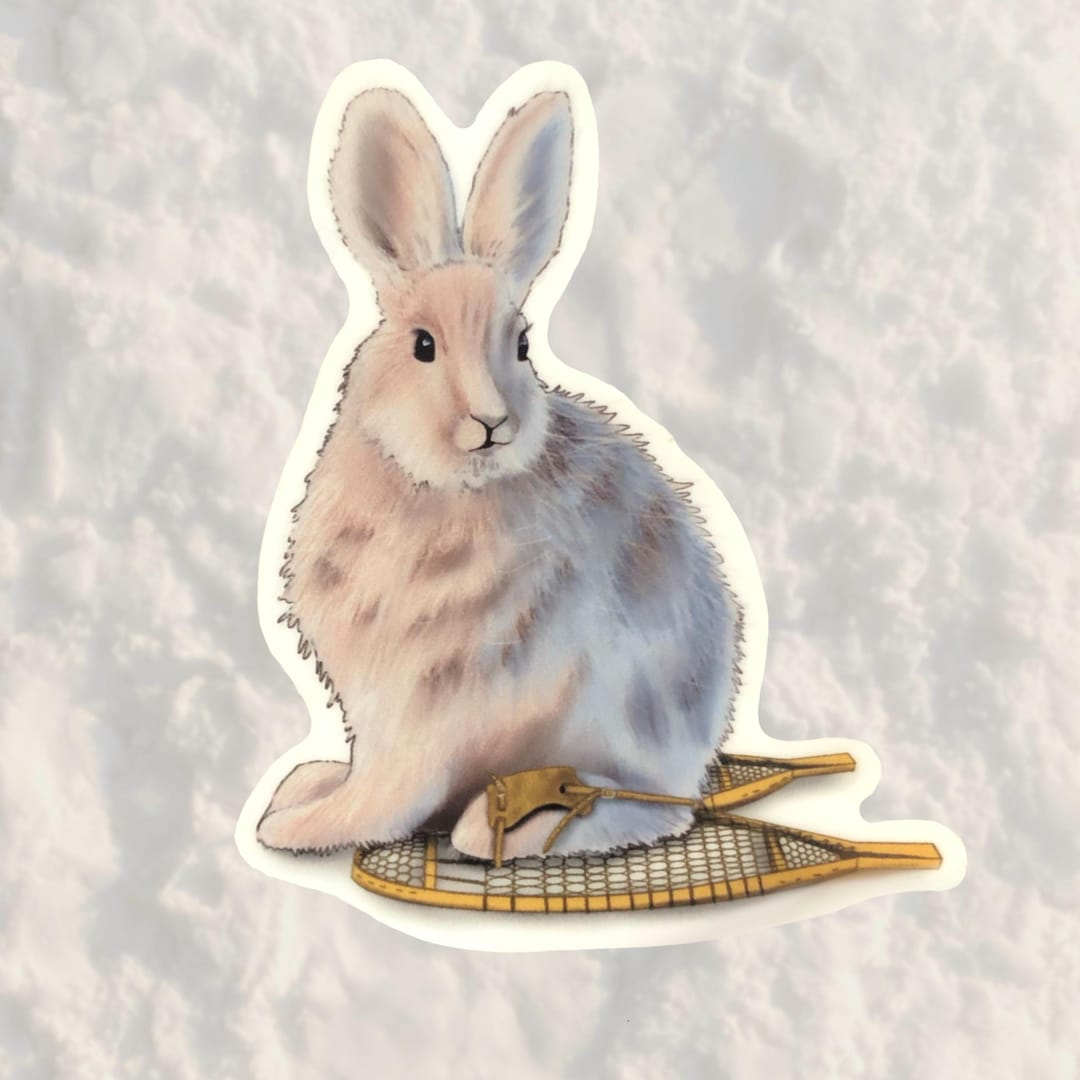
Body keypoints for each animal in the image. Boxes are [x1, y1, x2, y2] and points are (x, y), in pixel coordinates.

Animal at [255, 82, 743, 861]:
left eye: (520, 346)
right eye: (423, 345)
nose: (491, 423)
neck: (439, 488)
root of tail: (694, 756)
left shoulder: (430, 703)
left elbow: (388, 791)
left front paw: (299, 827)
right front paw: (303, 797)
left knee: (649, 809)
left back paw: (499, 828)